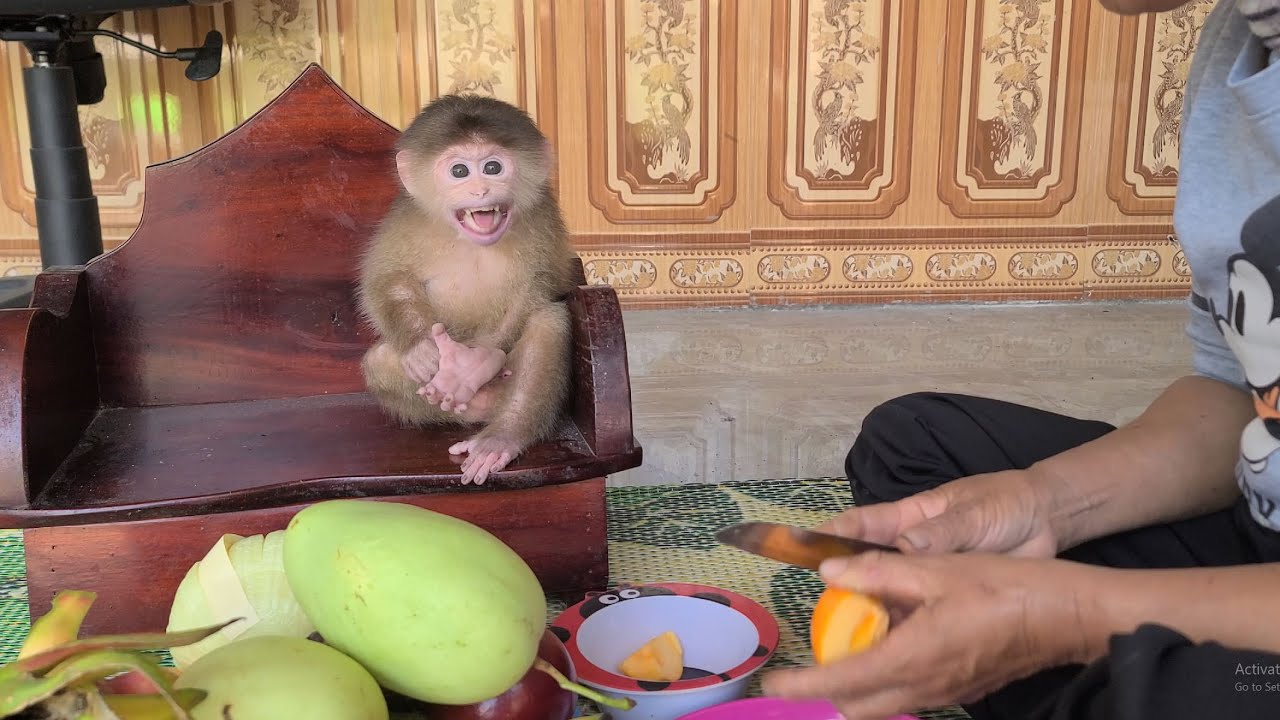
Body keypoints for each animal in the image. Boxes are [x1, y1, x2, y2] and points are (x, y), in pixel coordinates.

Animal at [356, 94, 580, 486]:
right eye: (459, 171)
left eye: (492, 167)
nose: (480, 190)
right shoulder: (405, 218)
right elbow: (387, 280)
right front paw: (422, 349)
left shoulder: (544, 214)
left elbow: (546, 282)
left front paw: (474, 364)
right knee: (379, 360)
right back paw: (474, 401)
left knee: (547, 321)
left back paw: (500, 434)